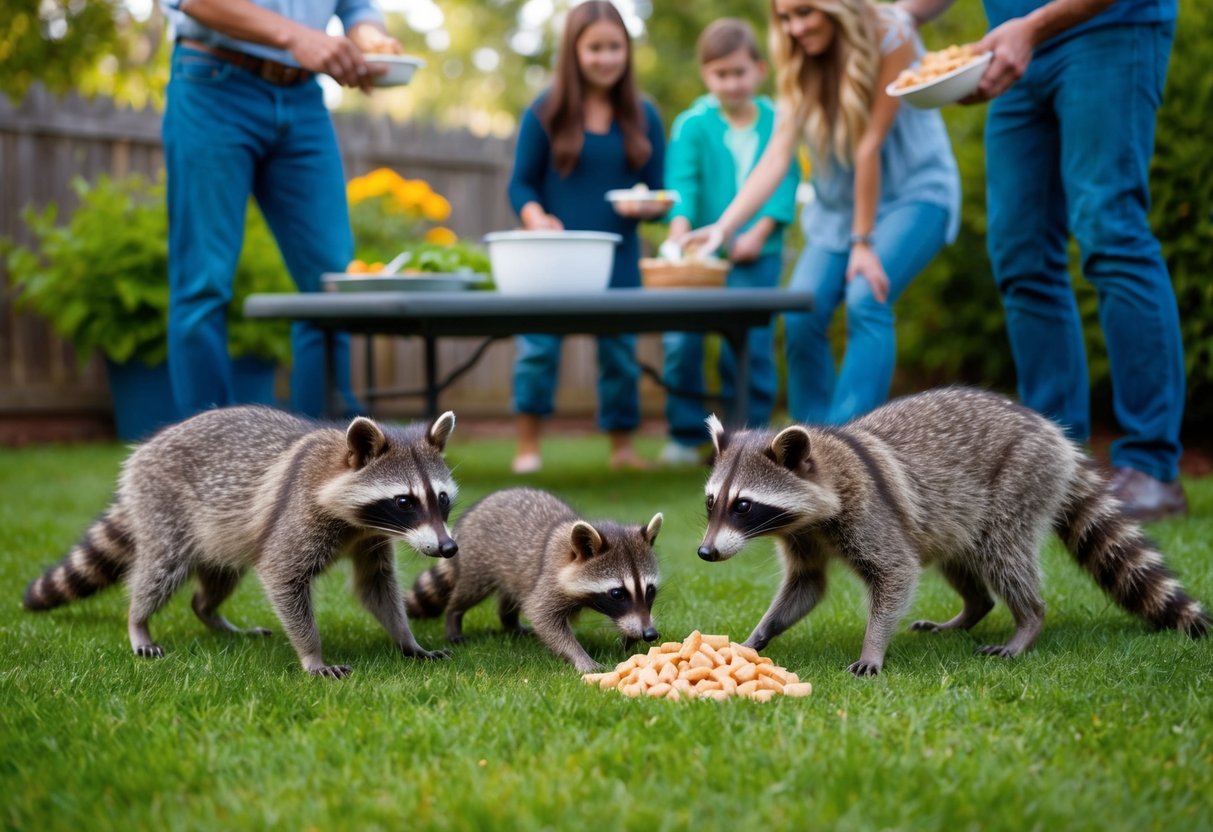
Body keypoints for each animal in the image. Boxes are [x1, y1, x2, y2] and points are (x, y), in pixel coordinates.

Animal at [24, 406, 460, 678]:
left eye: (441, 498)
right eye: (404, 502)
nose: (448, 549)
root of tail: (142, 453)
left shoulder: (370, 538)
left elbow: (375, 586)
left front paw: (407, 640)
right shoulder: (299, 512)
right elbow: (282, 575)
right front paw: (312, 654)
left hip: (220, 537)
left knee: (218, 580)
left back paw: (211, 614)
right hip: (164, 506)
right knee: (161, 570)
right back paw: (138, 621)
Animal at [405, 487, 663, 672]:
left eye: (650, 590)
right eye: (617, 594)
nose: (650, 634)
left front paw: (630, 635)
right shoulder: (548, 580)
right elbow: (542, 616)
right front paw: (580, 657)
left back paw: (510, 622)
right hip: (477, 561)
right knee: (468, 592)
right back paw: (454, 617)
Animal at [698, 387, 1208, 676]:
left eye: (742, 506)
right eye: (710, 502)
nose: (705, 553)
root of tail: (1054, 434)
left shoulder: (869, 513)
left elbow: (896, 572)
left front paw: (873, 646)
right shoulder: (802, 537)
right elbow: (807, 585)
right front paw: (759, 633)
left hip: (1020, 479)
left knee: (1005, 555)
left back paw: (1028, 620)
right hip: (956, 518)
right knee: (961, 561)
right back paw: (971, 610)